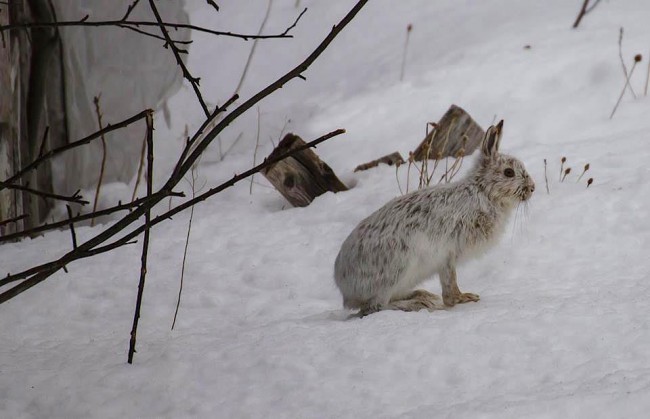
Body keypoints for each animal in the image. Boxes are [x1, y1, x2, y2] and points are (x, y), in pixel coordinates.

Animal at [334, 120, 534, 317]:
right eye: (509, 172)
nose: (532, 188)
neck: (483, 192)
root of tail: (344, 288)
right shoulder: (448, 253)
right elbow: (450, 282)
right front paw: (463, 299)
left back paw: (422, 294)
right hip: (396, 270)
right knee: (375, 307)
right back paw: (418, 304)